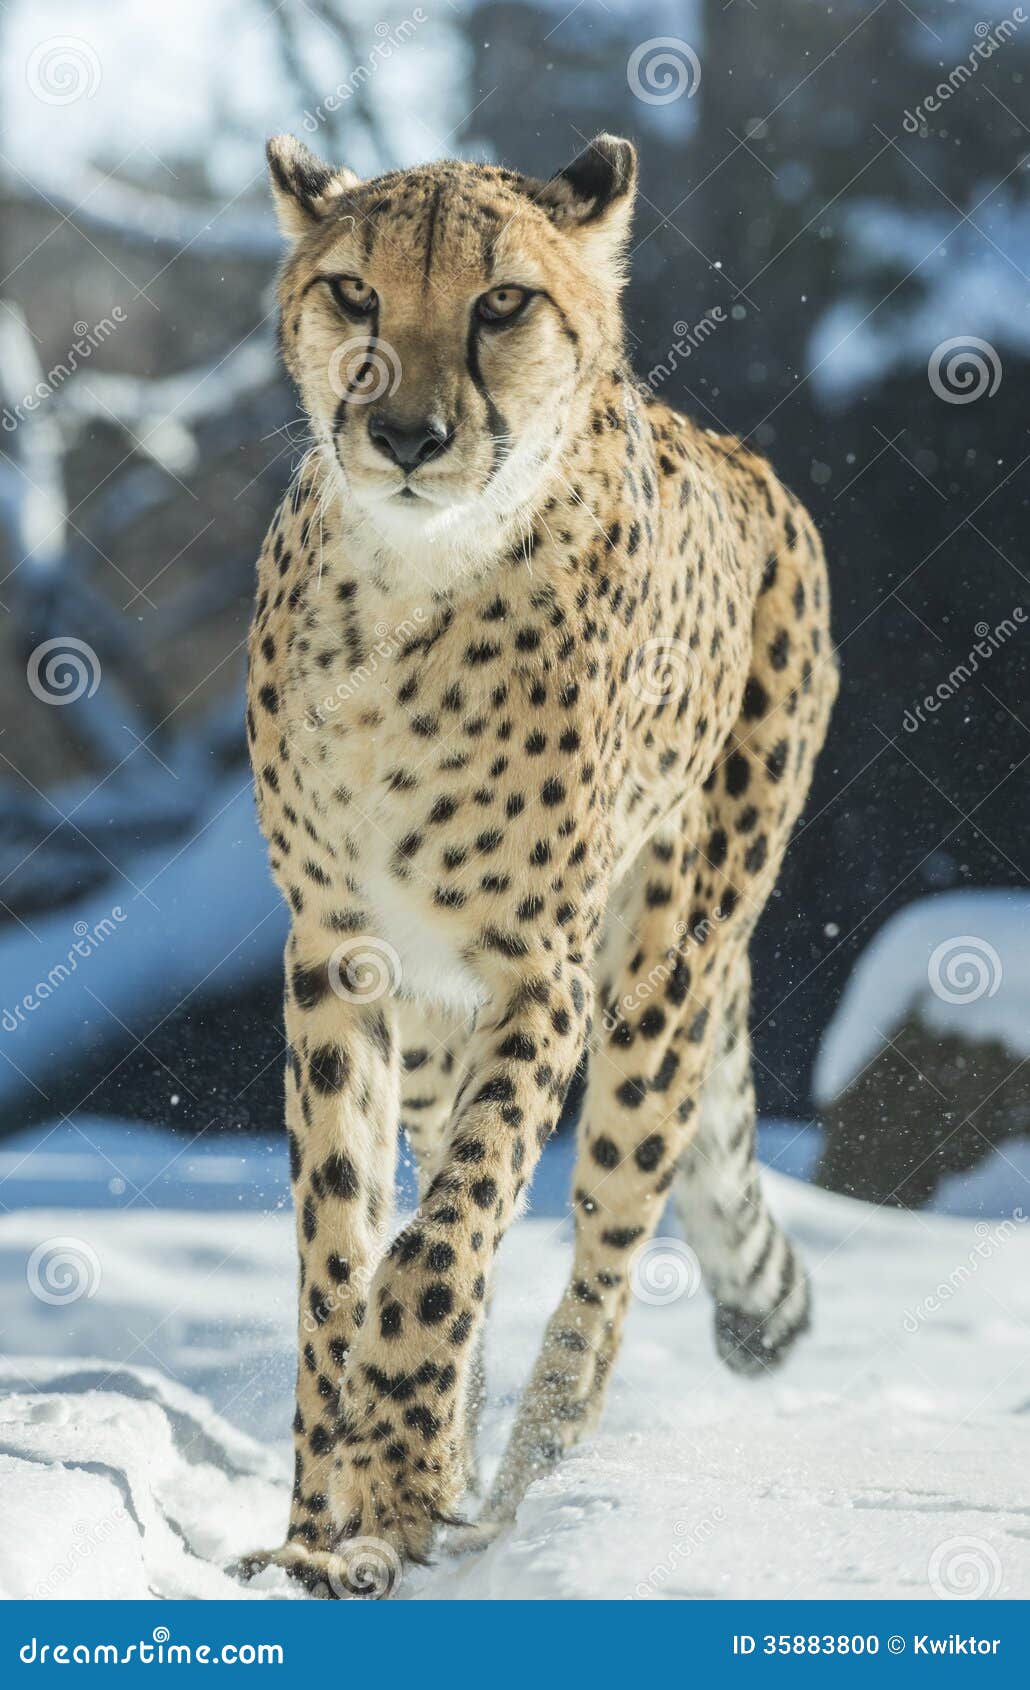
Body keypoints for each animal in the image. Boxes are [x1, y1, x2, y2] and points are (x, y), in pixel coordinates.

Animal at [237, 130, 838, 1597]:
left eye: (500, 302)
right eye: (351, 291)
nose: (405, 436)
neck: (410, 577)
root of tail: (751, 462)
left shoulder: (540, 972)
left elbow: (446, 1231)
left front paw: (395, 1466)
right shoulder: (339, 951)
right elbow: (341, 1240)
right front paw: (320, 1521)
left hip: (664, 985)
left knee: (602, 1267)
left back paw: (516, 1491)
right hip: (440, 1021)